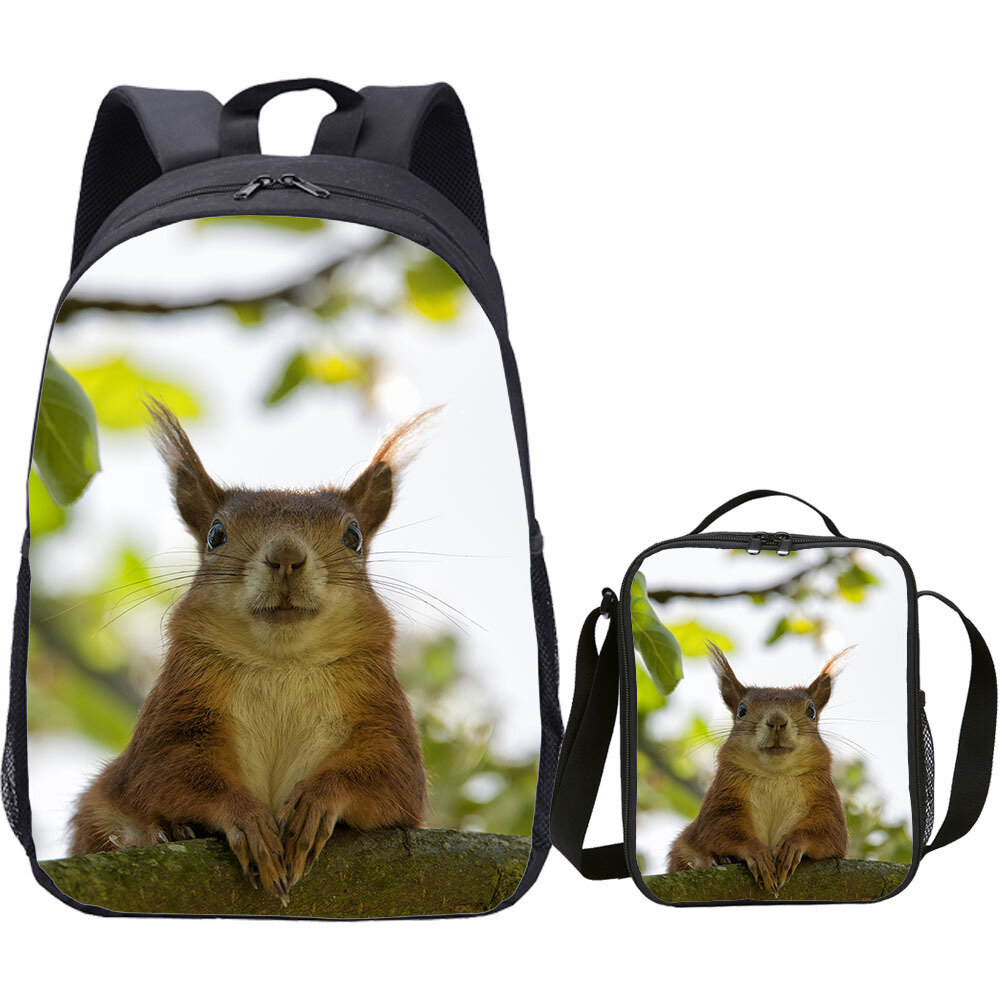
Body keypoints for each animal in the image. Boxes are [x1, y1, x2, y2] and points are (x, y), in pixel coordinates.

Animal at [69, 399, 436, 903]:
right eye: (215, 535)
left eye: (354, 536)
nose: (286, 556)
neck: (282, 662)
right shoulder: (175, 717)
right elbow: (166, 774)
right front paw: (248, 820)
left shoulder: (384, 718)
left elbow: (392, 779)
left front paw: (314, 804)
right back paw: (169, 832)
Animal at [667, 642, 850, 895]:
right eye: (741, 710)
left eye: (811, 711)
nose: (777, 721)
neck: (775, 774)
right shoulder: (722, 799)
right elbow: (717, 830)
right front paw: (758, 854)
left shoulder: (825, 801)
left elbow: (830, 833)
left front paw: (793, 845)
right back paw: (718, 860)